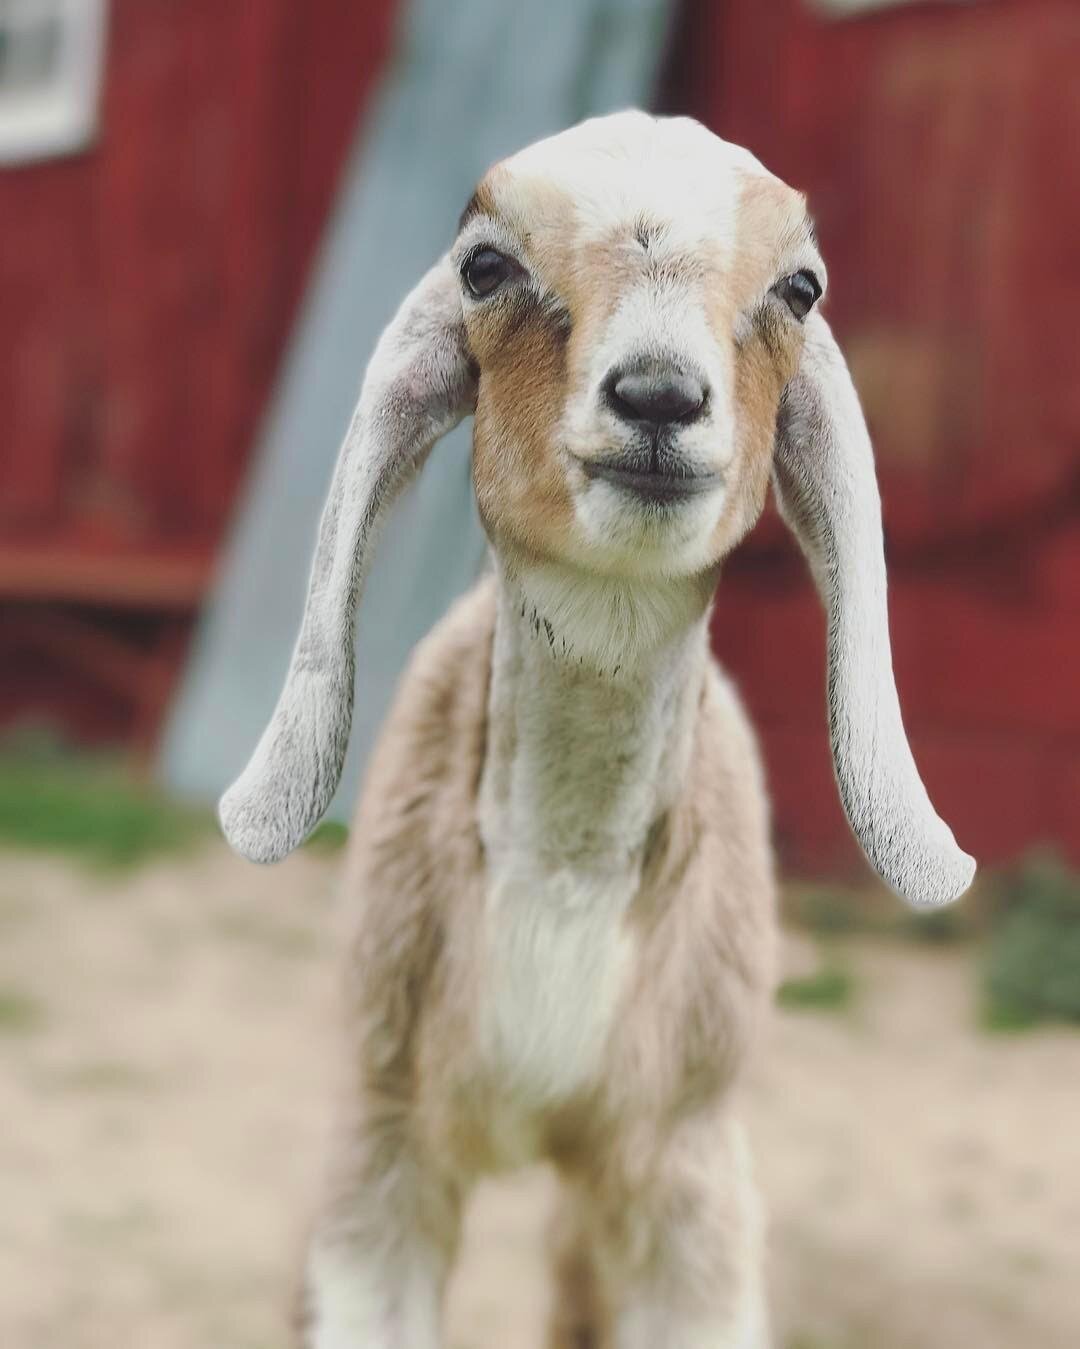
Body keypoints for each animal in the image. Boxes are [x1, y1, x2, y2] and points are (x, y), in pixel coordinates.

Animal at [219, 111, 974, 1349]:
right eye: (484, 265)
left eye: (801, 286)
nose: (660, 396)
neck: (562, 880)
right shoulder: (381, 1148)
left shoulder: (688, 1174)